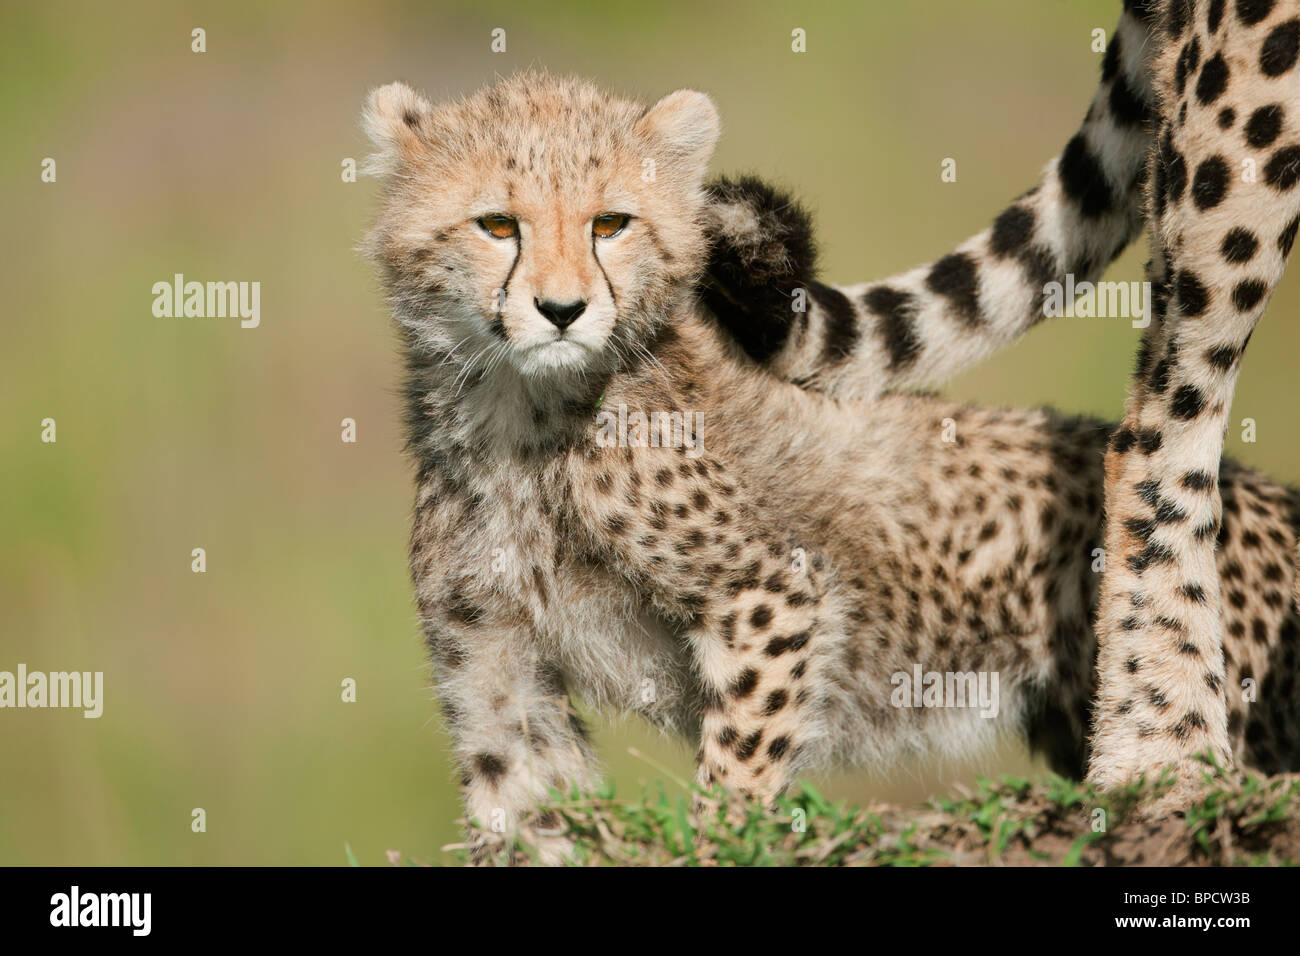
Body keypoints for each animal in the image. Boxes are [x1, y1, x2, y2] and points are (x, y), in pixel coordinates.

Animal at [360, 0, 1300, 864]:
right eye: (497, 224)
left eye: (610, 224)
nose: (562, 310)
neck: (517, 409)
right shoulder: (494, 662)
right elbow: (523, 807)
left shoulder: (769, 591)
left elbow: (739, 763)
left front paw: (726, 833)